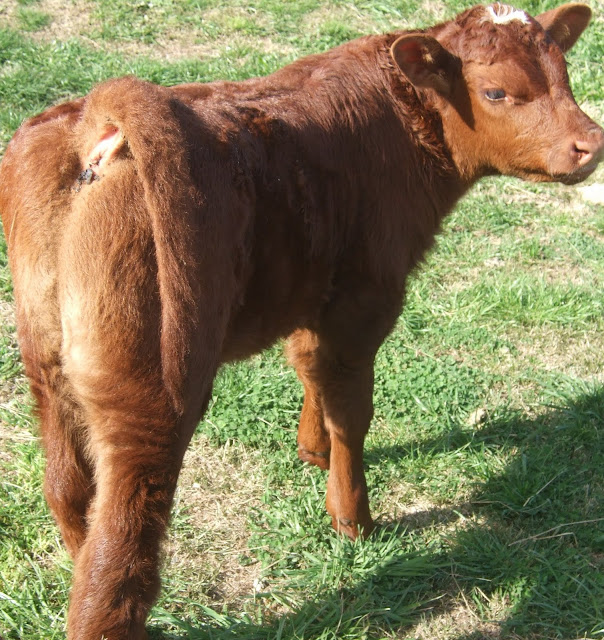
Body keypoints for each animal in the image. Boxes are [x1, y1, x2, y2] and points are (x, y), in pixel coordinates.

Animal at [0, 3, 602, 638]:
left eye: (564, 74)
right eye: (496, 92)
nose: (591, 143)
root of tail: (91, 123)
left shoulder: (312, 295)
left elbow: (309, 373)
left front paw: (311, 451)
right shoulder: (365, 301)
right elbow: (351, 412)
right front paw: (353, 518)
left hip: (46, 366)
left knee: (68, 491)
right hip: (151, 396)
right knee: (115, 556)